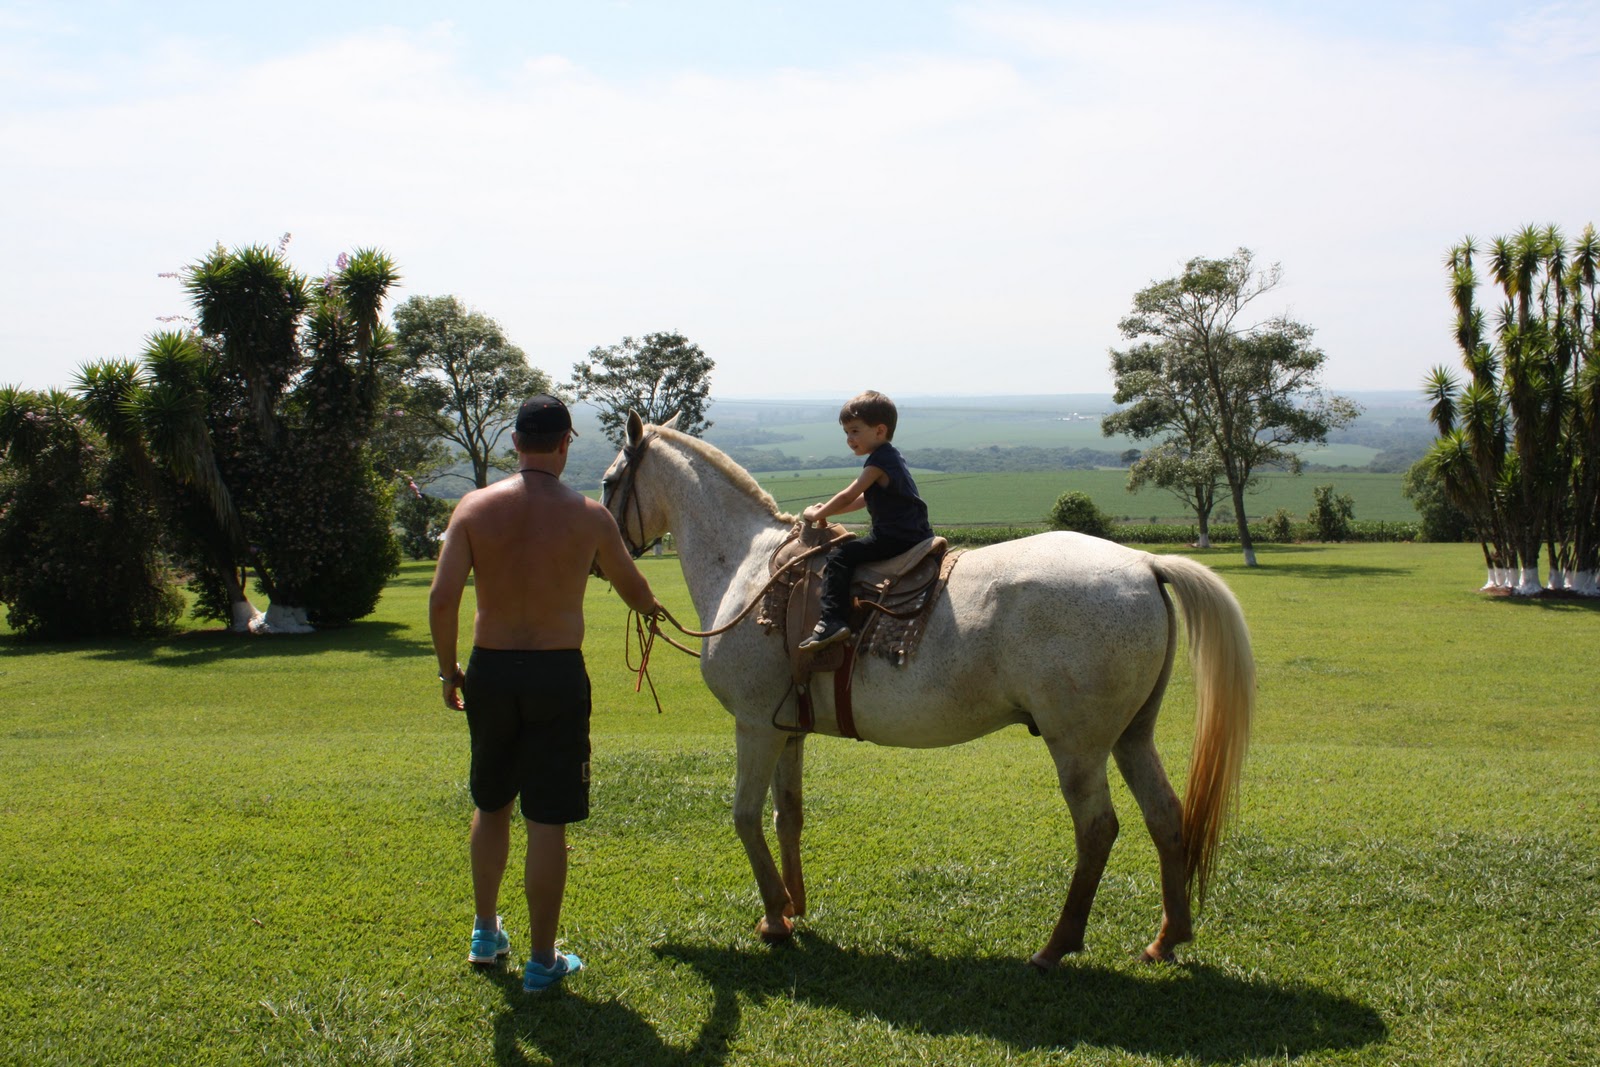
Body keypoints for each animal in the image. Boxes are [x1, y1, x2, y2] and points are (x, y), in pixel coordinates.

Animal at [601, 414, 1254, 966]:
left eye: (609, 481)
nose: (602, 560)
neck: (752, 570)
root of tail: (1144, 563)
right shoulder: (788, 729)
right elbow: (788, 816)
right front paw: (792, 906)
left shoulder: (755, 725)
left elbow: (743, 817)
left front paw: (776, 919)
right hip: (1130, 736)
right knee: (1165, 816)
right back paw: (1167, 937)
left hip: (1079, 745)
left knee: (1097, 830)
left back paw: (1057, 946)